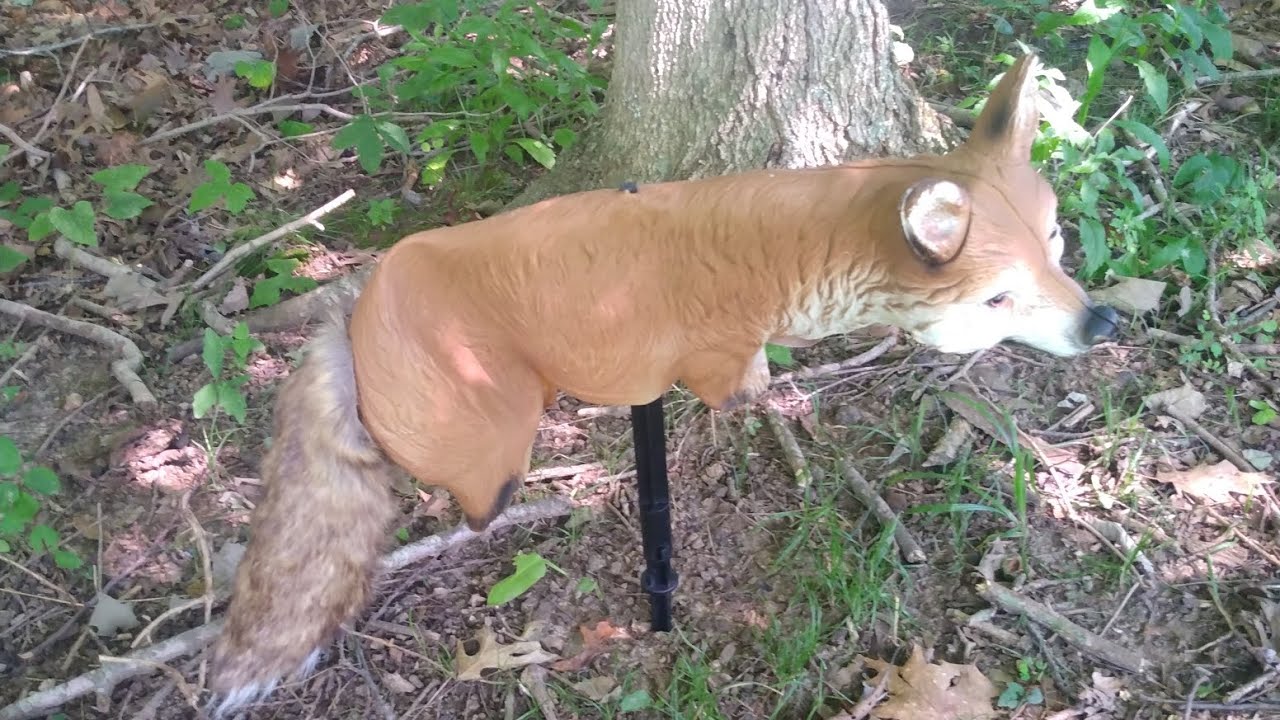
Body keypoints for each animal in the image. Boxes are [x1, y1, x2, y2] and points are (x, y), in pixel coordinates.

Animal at [207, 53, 1119, 714]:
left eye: (1057, 246)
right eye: (999, 298)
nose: (1100, 324)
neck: (775, 259)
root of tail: (353, 305)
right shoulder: (711, 361)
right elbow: (736, 396)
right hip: (492, 443)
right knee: (453, 496)